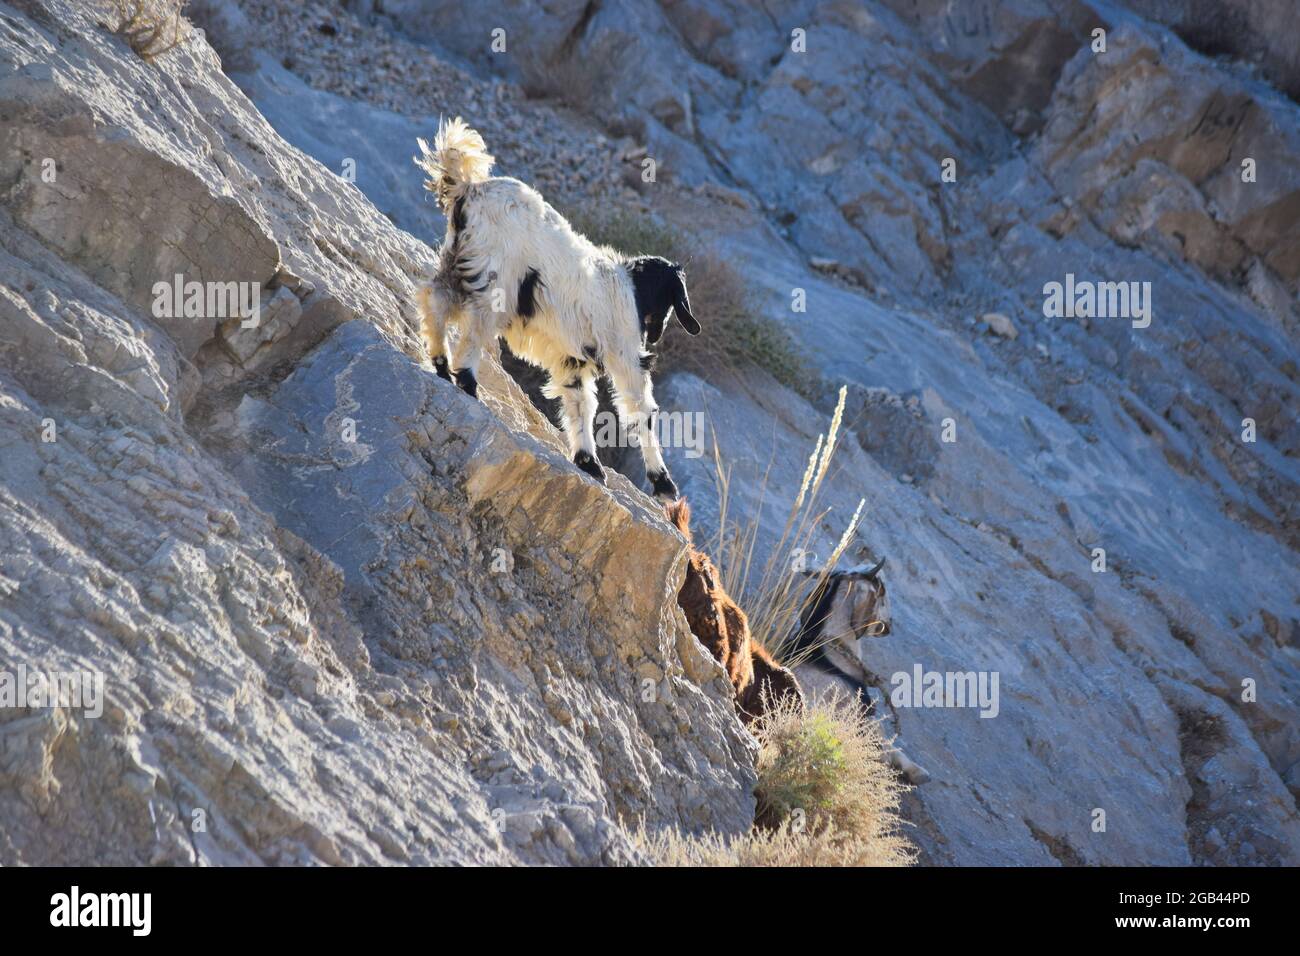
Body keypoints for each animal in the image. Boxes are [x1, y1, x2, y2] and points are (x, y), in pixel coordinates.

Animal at [413, 117, 699, 499]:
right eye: (672, 298)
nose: (657, 333)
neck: (629, 286)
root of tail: (469, 189)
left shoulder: (571, 358)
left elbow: (579, 405)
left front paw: (588, 462)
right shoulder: (624, 355)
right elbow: (640, 409)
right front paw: (664, 483)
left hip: (456, 264)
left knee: (435, 299)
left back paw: (441, 365)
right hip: (495, 284)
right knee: (474, 330)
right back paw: (468, 383)